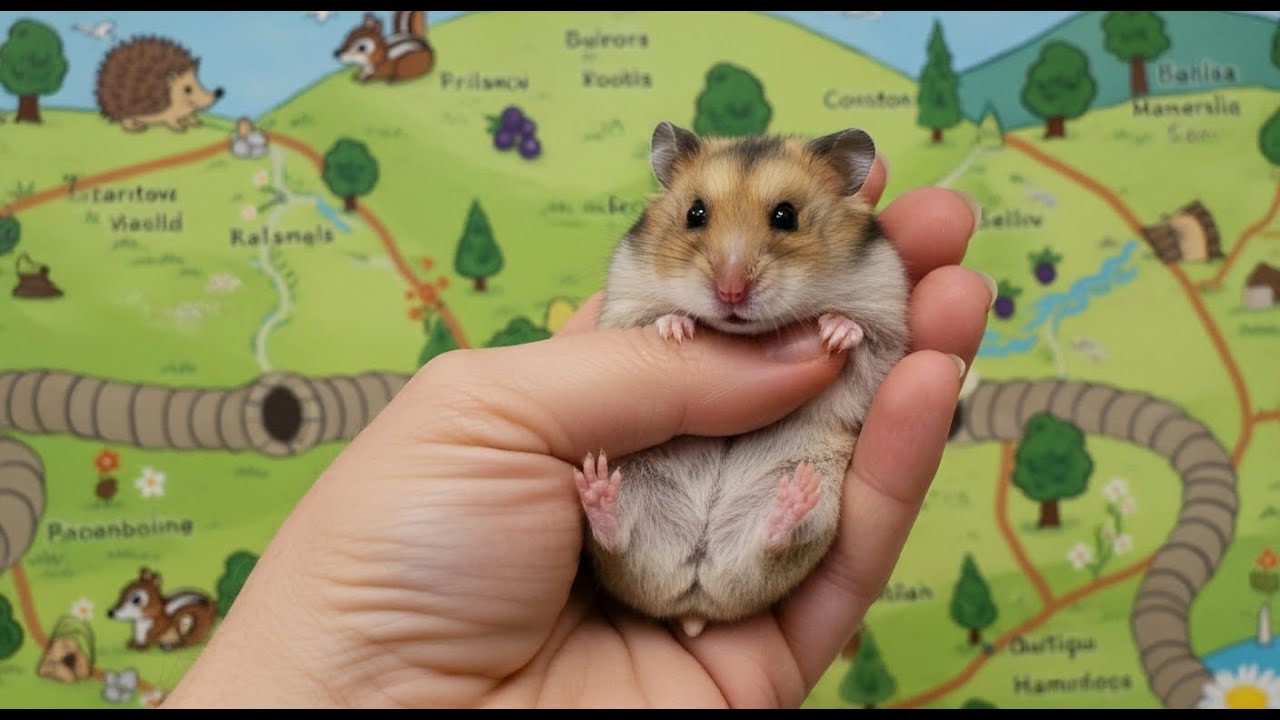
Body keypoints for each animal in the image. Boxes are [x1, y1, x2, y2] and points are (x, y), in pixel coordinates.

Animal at [576, 121, 910, 638]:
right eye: (694, 213)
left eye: (786, 216)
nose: (730, 291)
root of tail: (694, 603)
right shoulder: (623, 310)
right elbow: (650, 318)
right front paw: (677, 328)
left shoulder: (886, 329)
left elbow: (863, 347)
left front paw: (836, 331)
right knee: (615, 543)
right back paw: (598, 491)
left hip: (813, 517)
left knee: (775, 545)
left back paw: (792, 501)